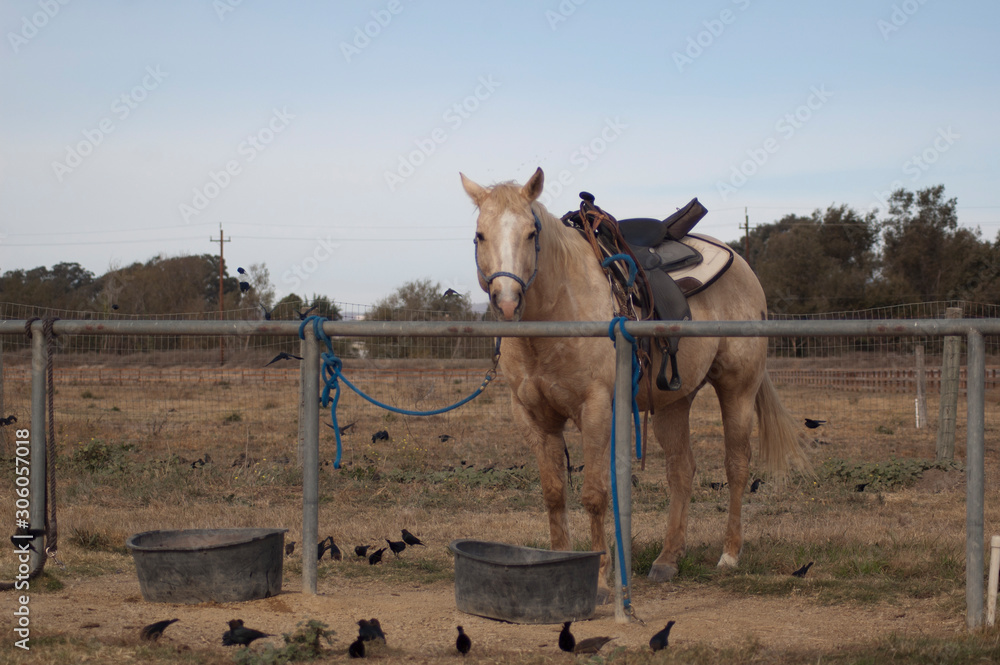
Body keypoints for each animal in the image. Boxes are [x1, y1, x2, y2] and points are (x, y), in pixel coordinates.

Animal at [461, 167, 810, 598]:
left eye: (530, 233)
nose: (507, 302)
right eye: (480, 235)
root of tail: (741, 264)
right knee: (682, 470)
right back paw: (668, 559)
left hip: (738, 389)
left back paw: (729, 554)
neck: (558, 313)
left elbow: (595, 495)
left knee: (736, 466)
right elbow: (554, 494)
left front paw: (600, 579)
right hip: (673, 403)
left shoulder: (596, 409)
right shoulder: (534, 417)